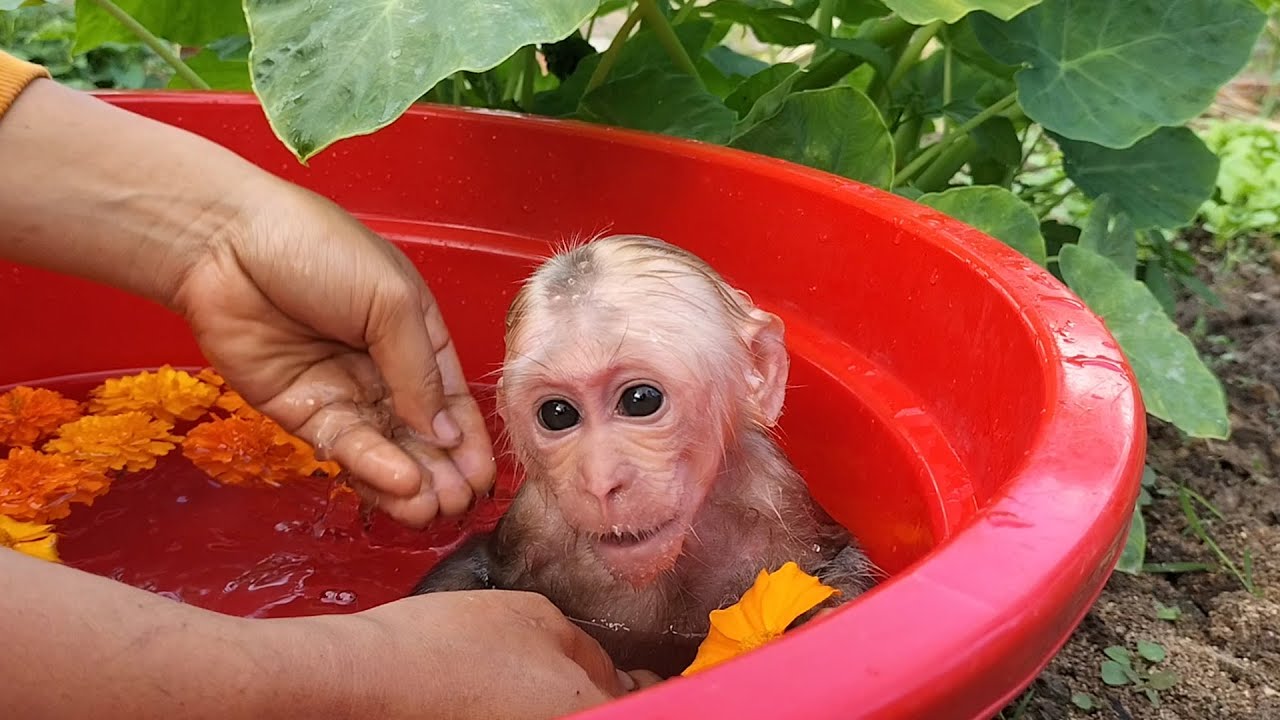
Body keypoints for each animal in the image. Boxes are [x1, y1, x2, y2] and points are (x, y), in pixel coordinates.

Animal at [410, 234, 877, 678]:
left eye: (641, 400)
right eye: (558, 414)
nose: (600, 483)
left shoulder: (777, 501)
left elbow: (837, 561)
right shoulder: (534, 526)